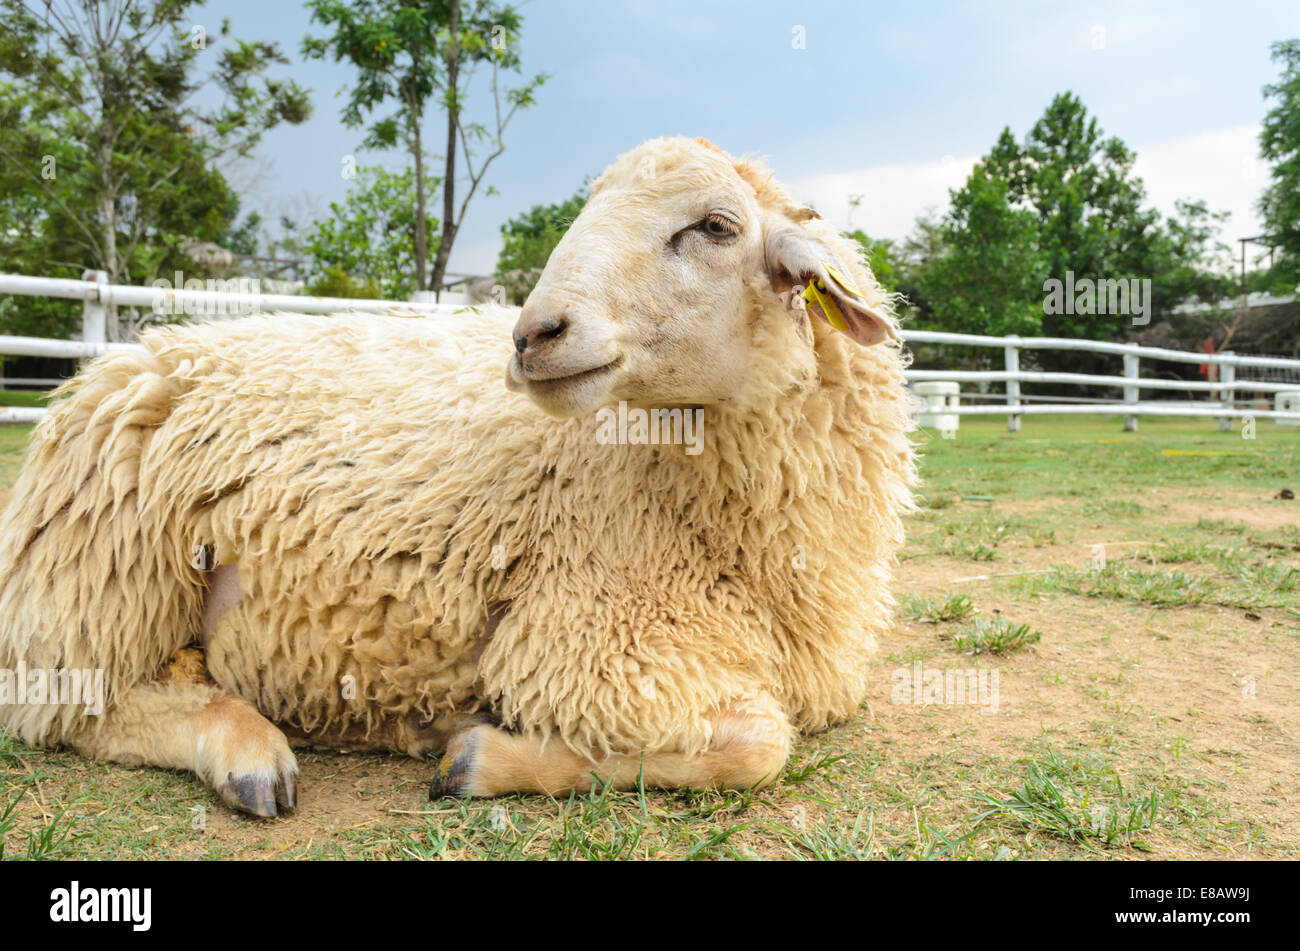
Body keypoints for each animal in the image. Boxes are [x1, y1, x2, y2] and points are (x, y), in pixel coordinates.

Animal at [0, 136, 915, 815]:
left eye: (716, 226)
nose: (534, 334)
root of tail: (134, 353)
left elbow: (764, 739)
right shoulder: (592, 634)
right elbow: (759, 745)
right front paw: (480, 754)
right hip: (101, 576)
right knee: (71, 703)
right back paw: (247, 753)